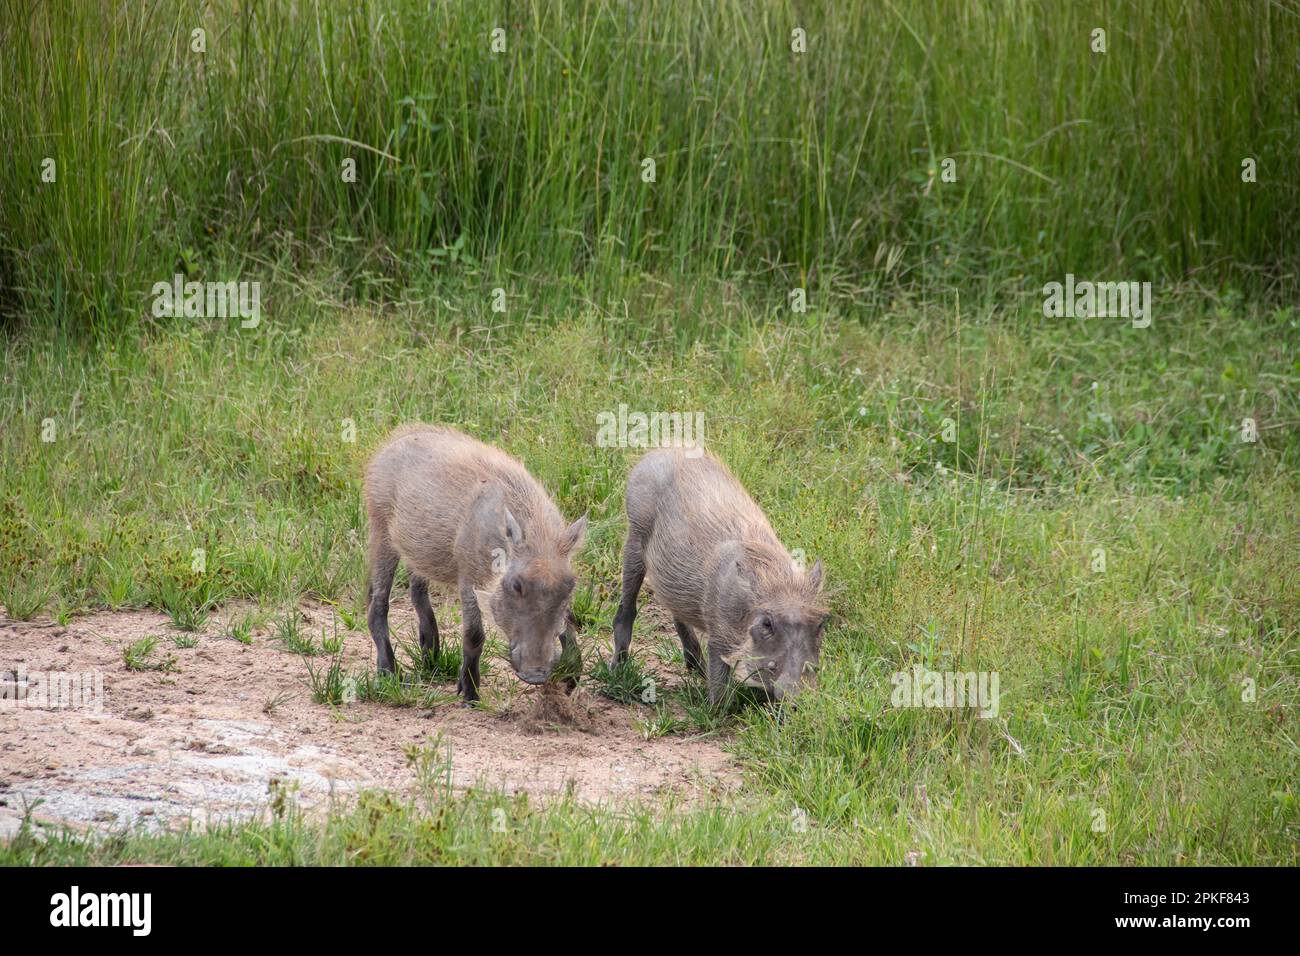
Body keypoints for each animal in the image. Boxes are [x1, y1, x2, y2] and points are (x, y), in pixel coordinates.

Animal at [363, 424, 587, 701]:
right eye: (516, 585)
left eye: (569, 586)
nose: (536, 675)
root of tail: (394, 440)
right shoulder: (468, 577)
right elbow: (474, 635)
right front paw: (469, 695)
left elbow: (570, 622)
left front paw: (571, 680)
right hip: (381, 531)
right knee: (378, 605)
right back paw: (389, 673)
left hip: (417, 549)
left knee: (417, 591)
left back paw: (431, 659)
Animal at [612, 447, 827, 705]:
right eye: (767, 623)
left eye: (821, 623)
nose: (798, 699)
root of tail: (663, 450)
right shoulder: (719, 637)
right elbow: (719, 689)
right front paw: (716, 710)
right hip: (635, 541)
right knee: (626, 610)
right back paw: (618, 670)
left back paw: (696, 668)